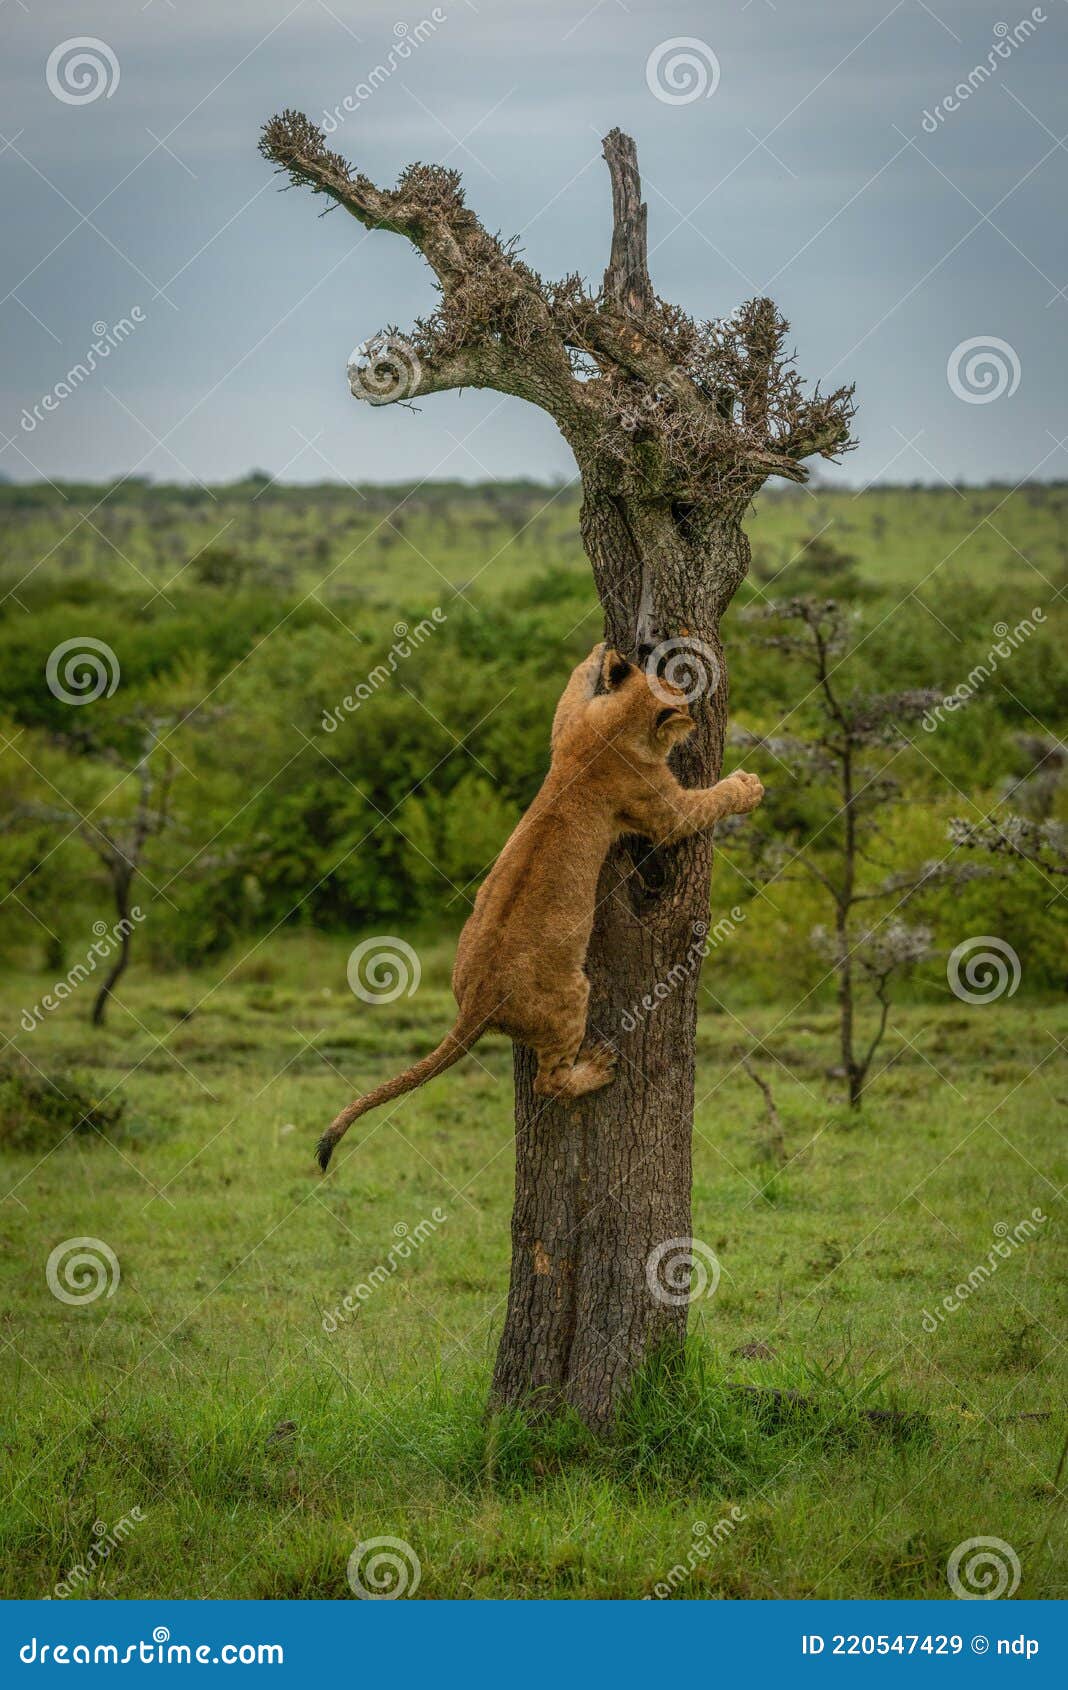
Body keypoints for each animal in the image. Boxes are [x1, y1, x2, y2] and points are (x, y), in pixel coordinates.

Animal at [316, 642, 764, 1169]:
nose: (694, 716)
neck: (614, 726)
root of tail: (475, 1004)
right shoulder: (661, 810)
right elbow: (706, 804)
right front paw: (749, 787)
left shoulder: (567, 727)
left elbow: (567, 692)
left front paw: (598, 655)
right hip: (571, 996)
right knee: (547, 1082)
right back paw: (595, 1069)